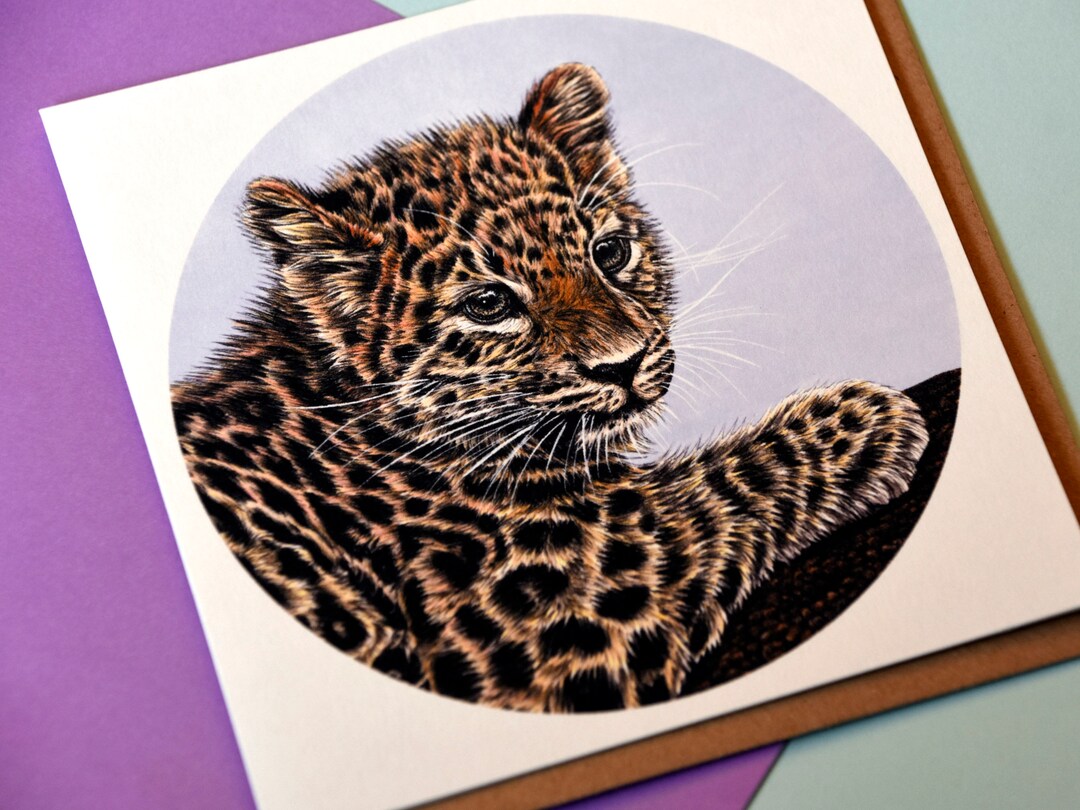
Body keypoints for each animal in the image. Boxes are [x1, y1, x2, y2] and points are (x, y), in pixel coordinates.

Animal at [172, 63, 929, 712]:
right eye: (487, 305)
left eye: (610, 253)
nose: (623, 363)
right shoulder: (565, 625)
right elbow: (712, 490)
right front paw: (869, 420)